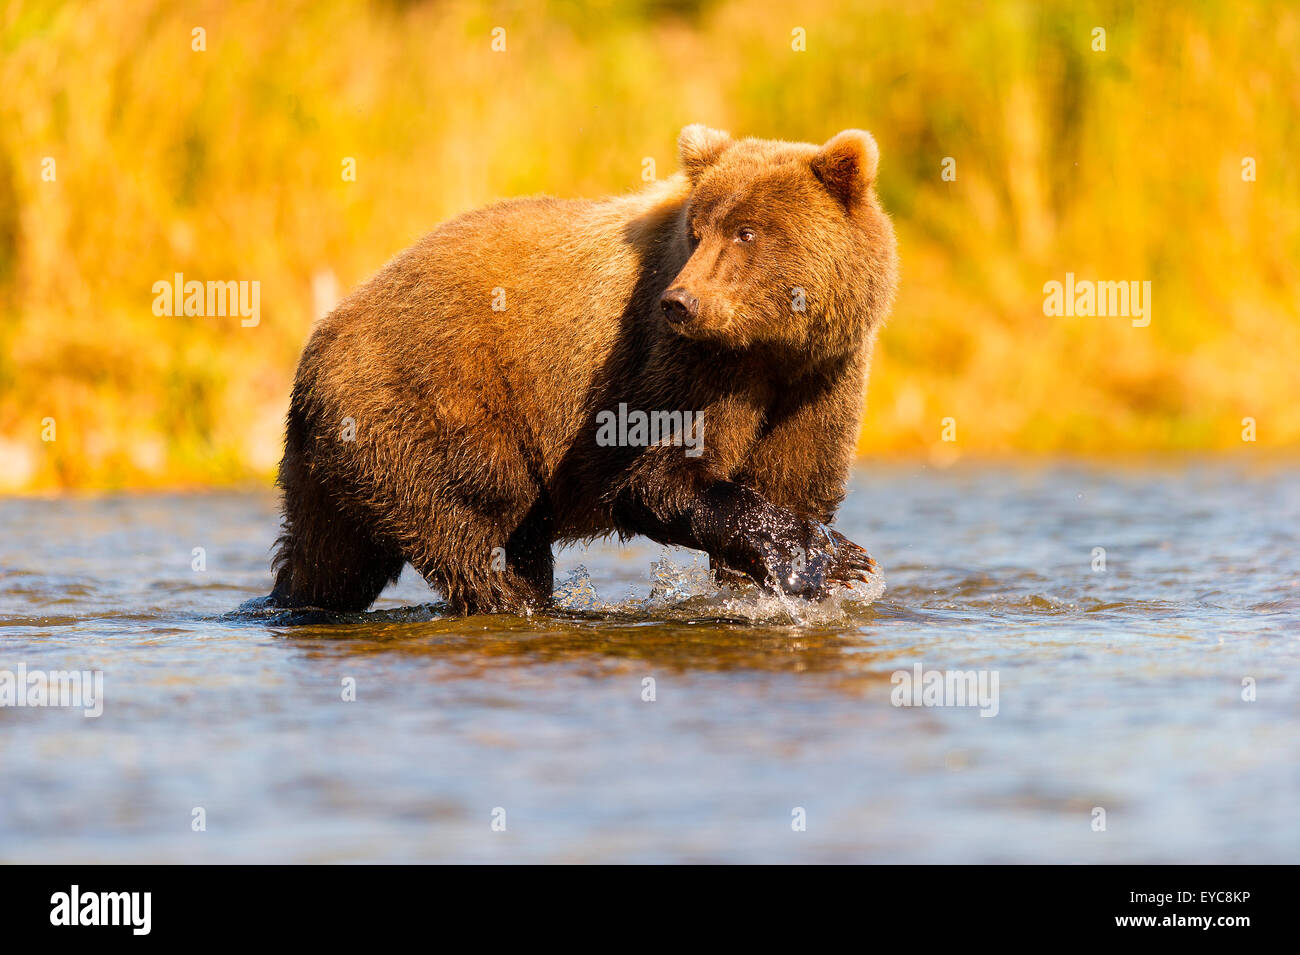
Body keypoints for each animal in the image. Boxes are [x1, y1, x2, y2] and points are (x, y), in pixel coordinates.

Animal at [266, 125, 899, 615]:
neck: (772, 347)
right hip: (432, 398)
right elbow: (659, 477)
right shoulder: (683, 365)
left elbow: (792, 481)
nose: (681, 302)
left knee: (331, 555)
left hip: (334, 457)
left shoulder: (823, 378)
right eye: (697, 231)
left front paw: (796, 568)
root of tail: (317, 346)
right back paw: (508, 597)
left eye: (746, 232)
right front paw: (838, 559)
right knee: (468, 514)